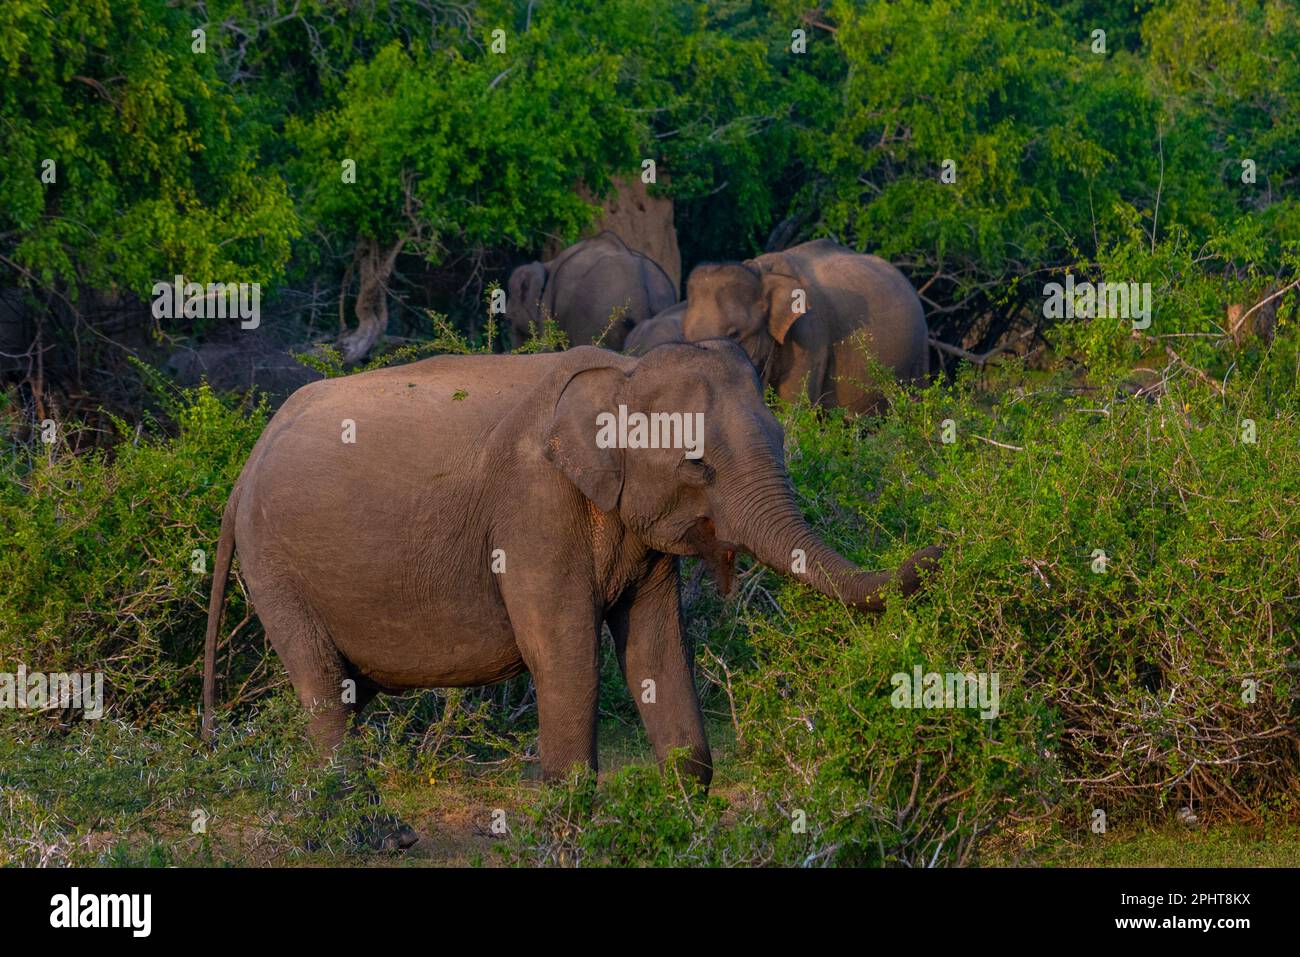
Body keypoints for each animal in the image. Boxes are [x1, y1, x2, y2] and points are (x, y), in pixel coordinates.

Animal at [202, 340, 942, 846]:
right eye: (697, 463)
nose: (937, 550)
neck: (624, 375)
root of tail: (244, 466)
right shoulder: (533, 509)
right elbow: (565, 651)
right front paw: (564, 831)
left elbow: (655, 650)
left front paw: (680, 817)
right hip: (276, 567)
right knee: (324, 686)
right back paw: (379, 838)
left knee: (347, 691)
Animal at [681, 239, 930, 414]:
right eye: (686, 336)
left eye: (735, 333)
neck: (760, 271)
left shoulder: (809, 334)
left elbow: (793, 408)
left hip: (918, 354)